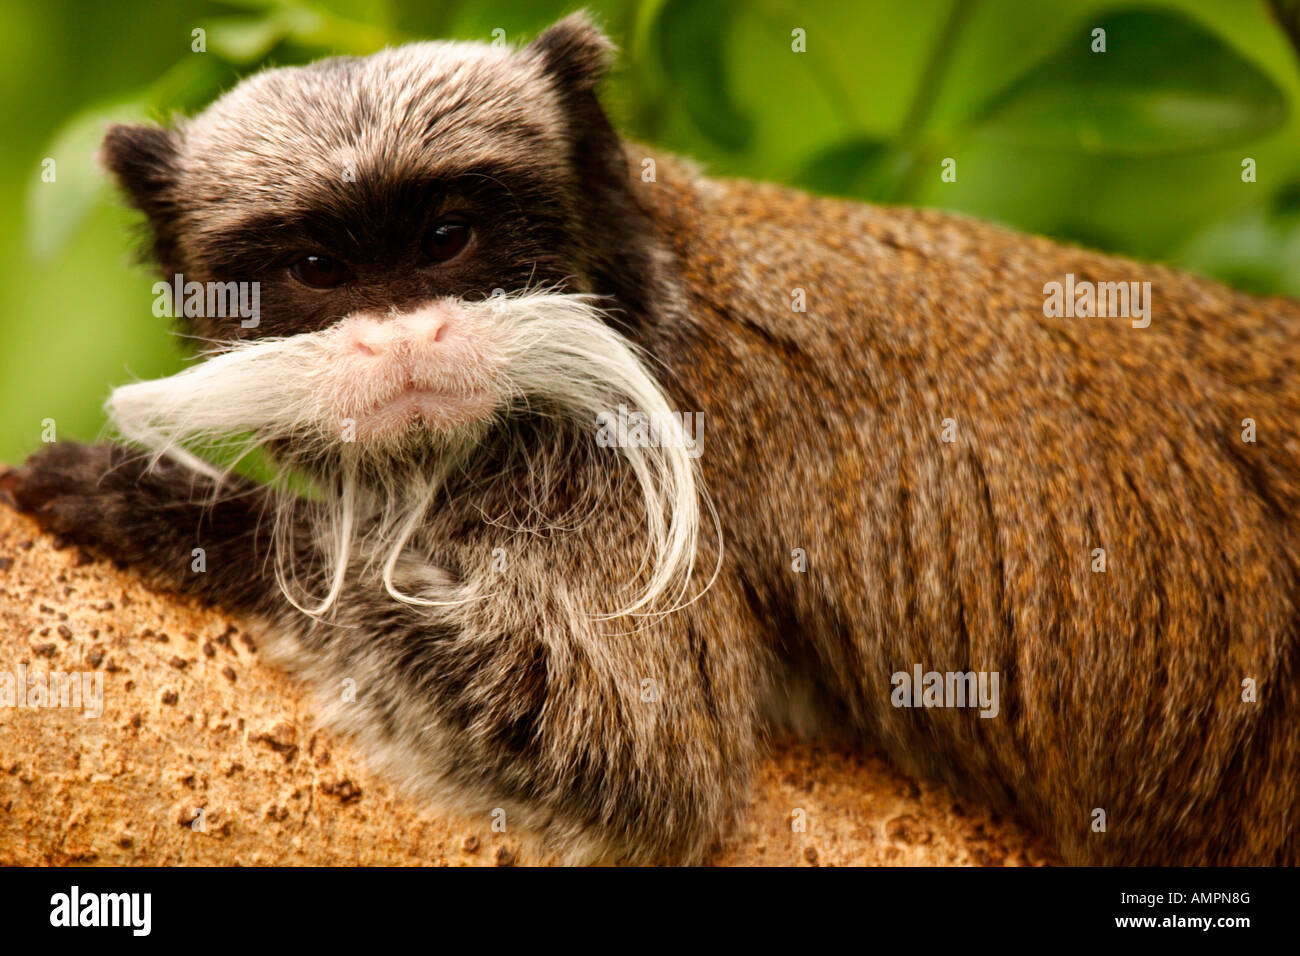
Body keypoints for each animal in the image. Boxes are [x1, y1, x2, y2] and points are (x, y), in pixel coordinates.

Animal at [3, 11, 1298, 866]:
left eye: (448, 235)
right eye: (319, 267)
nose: (407, 338)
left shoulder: (620, 457)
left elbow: (624, 743)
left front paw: (178, 512)